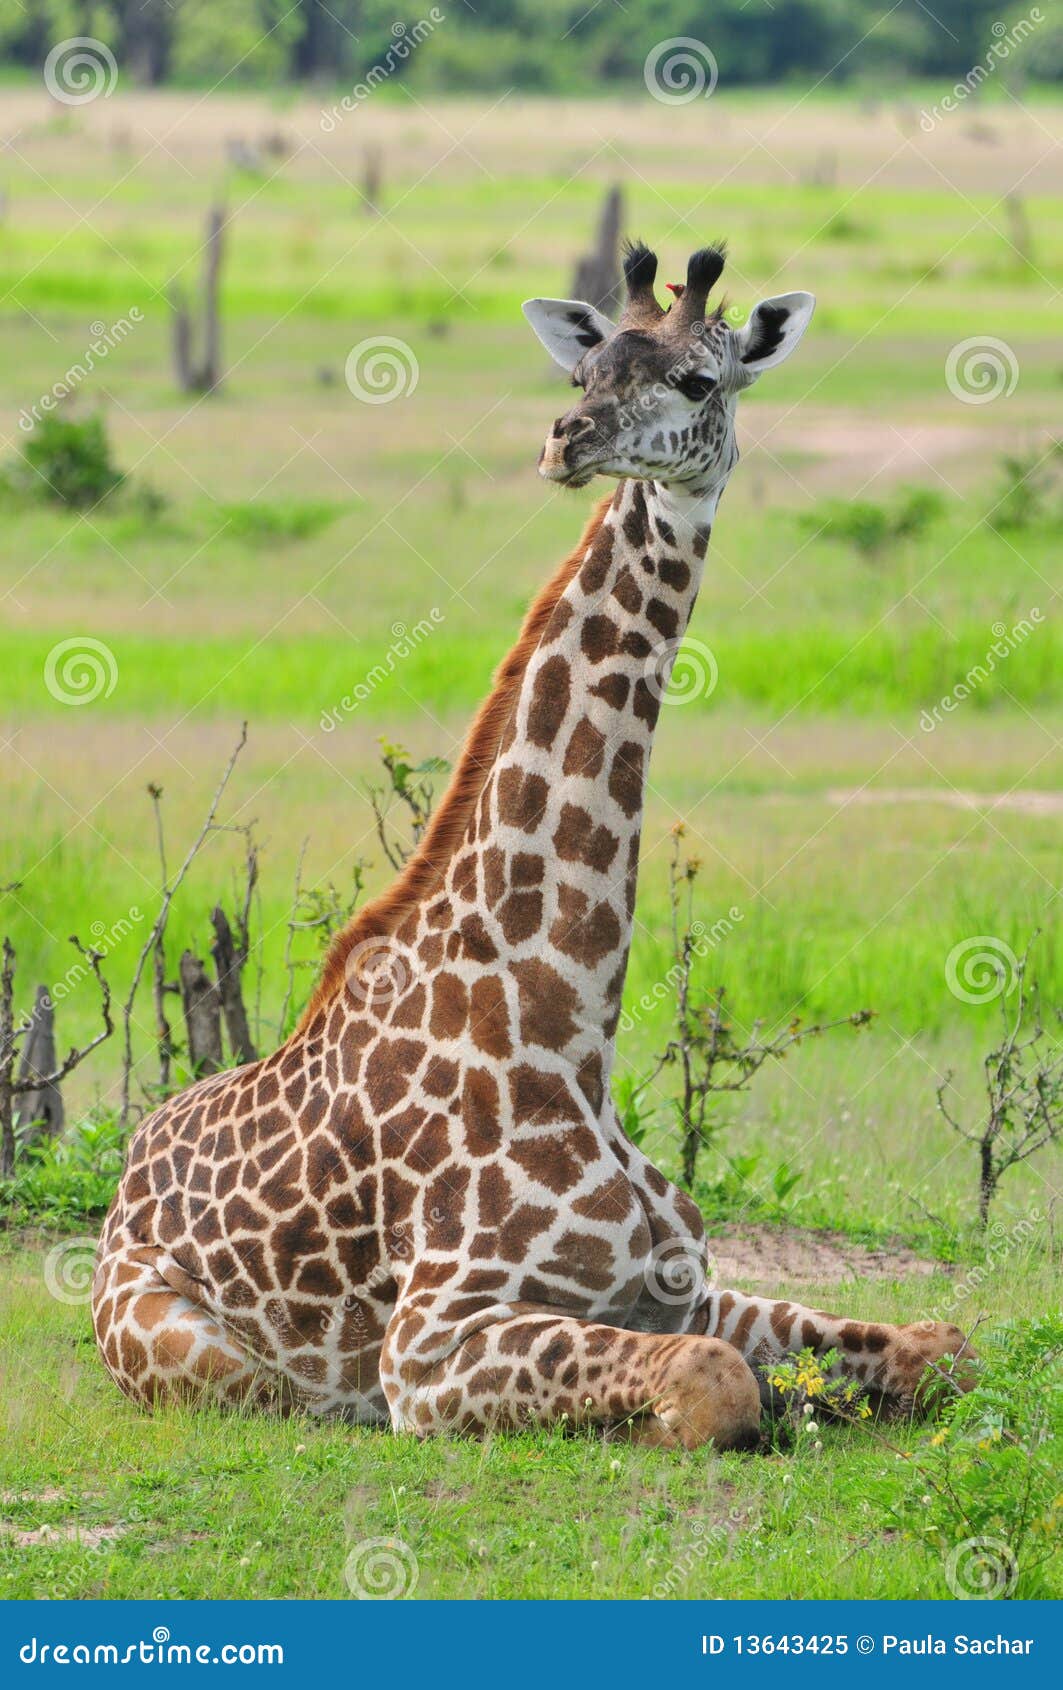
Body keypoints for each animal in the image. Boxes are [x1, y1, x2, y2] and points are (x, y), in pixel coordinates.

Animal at [92, 242, 972, 1450]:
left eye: (700, 379)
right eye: (582, 372)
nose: (569, 440)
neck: (563, 1031)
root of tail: (125, 1171)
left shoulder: (687, 1284)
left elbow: (944, 1352)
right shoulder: (426, 1347)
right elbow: (713, 1383)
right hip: (207, 1360)